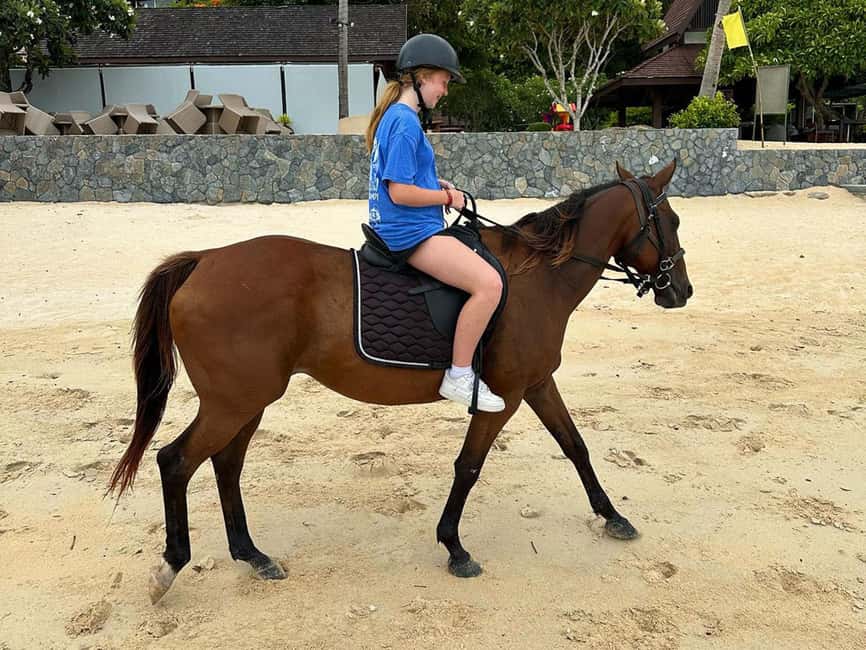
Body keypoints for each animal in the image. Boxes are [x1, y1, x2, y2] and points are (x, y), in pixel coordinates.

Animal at [109, 160, 692, 604]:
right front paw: (454, 547)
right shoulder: (503, 398)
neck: (537, 278)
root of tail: (205, 259)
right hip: (233, 402)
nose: (680, 291)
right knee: (176, 462)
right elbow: (469, 466)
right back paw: (172, 565)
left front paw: (613, 517)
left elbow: (576, 446)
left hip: (247, 401)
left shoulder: (537, 384)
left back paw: (252, 555)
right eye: (672, 221)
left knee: (226, 465)